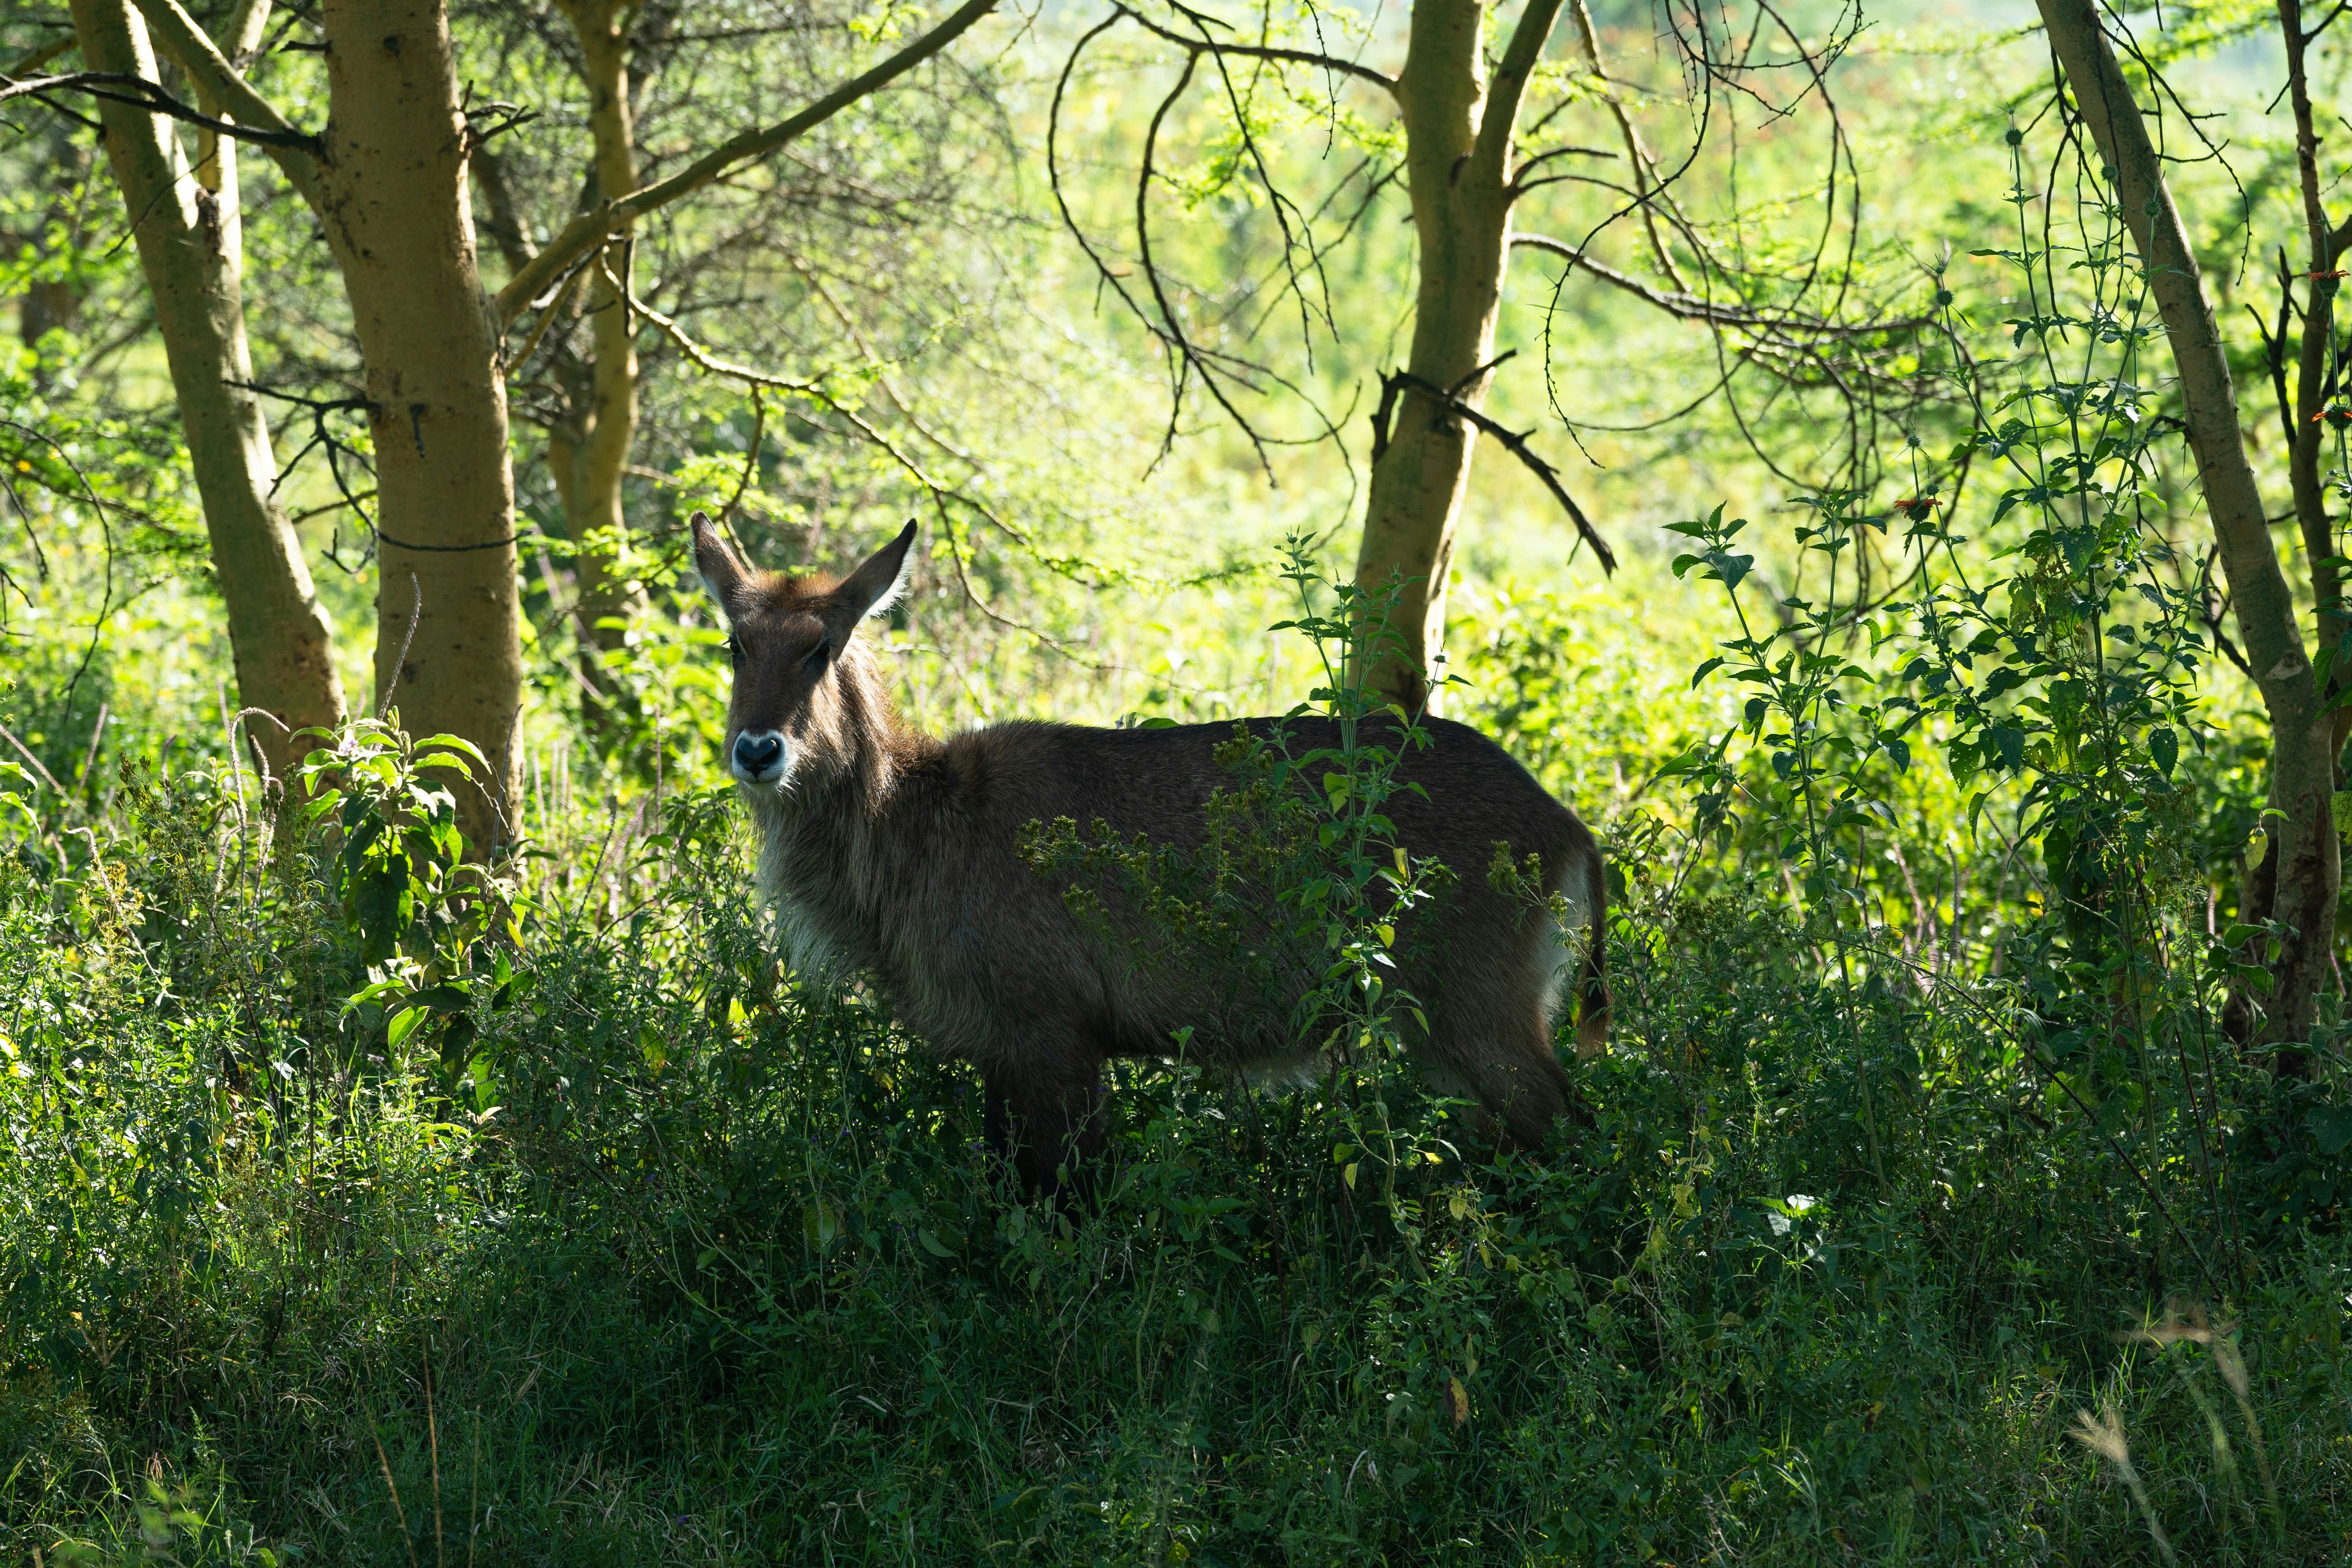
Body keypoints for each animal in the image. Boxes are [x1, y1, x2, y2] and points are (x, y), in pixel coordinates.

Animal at [689, 513, 1608, 1200]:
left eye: (823, 646)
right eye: (736, 643)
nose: (758, 750)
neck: (917, 822)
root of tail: (1567, 822)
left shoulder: (1053, 1033)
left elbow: (1067, 1201)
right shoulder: (1002, 1050)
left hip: (1481, 1015)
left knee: (1580, 1136)